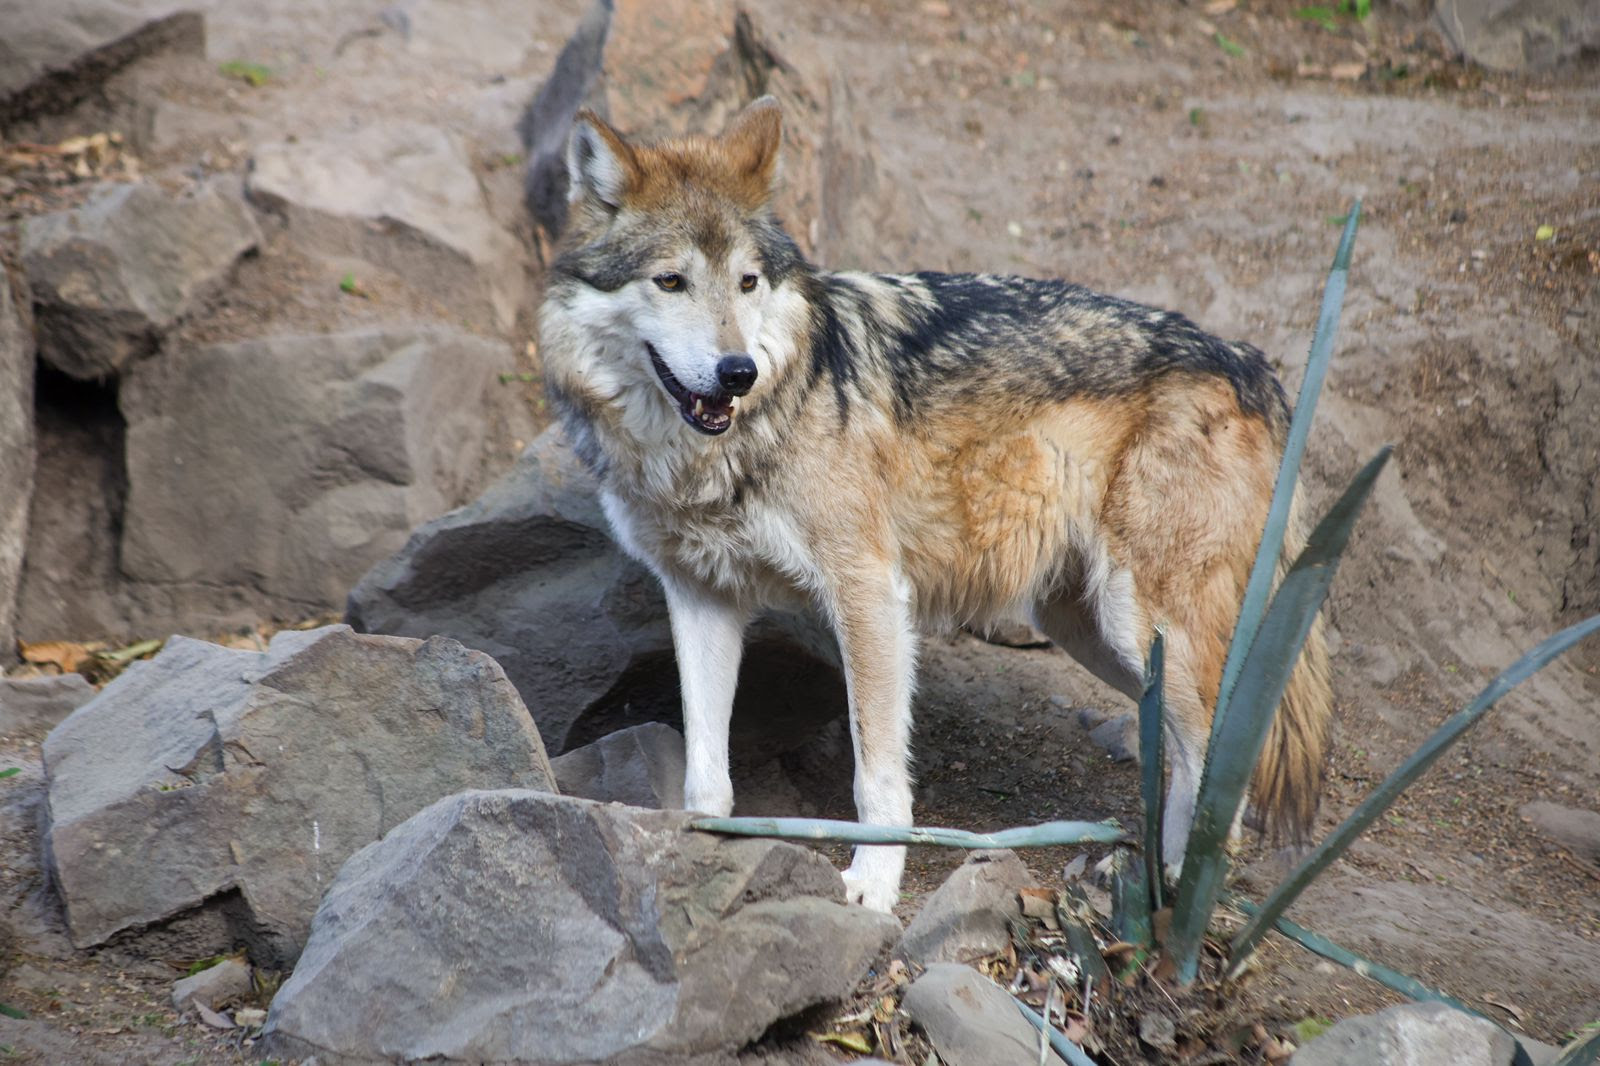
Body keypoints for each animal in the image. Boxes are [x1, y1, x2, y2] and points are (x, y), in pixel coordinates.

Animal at [538, 96, 1331, 912]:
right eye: (670, 281)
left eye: (748, 282)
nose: (737, 372)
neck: (724, 448)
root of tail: (1250, 363)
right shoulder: (701, 597)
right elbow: (705, 771)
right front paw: (704, 851)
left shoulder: (868, 594)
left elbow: (876, 773)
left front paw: (872, 883)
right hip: (1094, 632)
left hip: (1139, 623)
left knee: (1218, 746)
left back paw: (1182, 897)